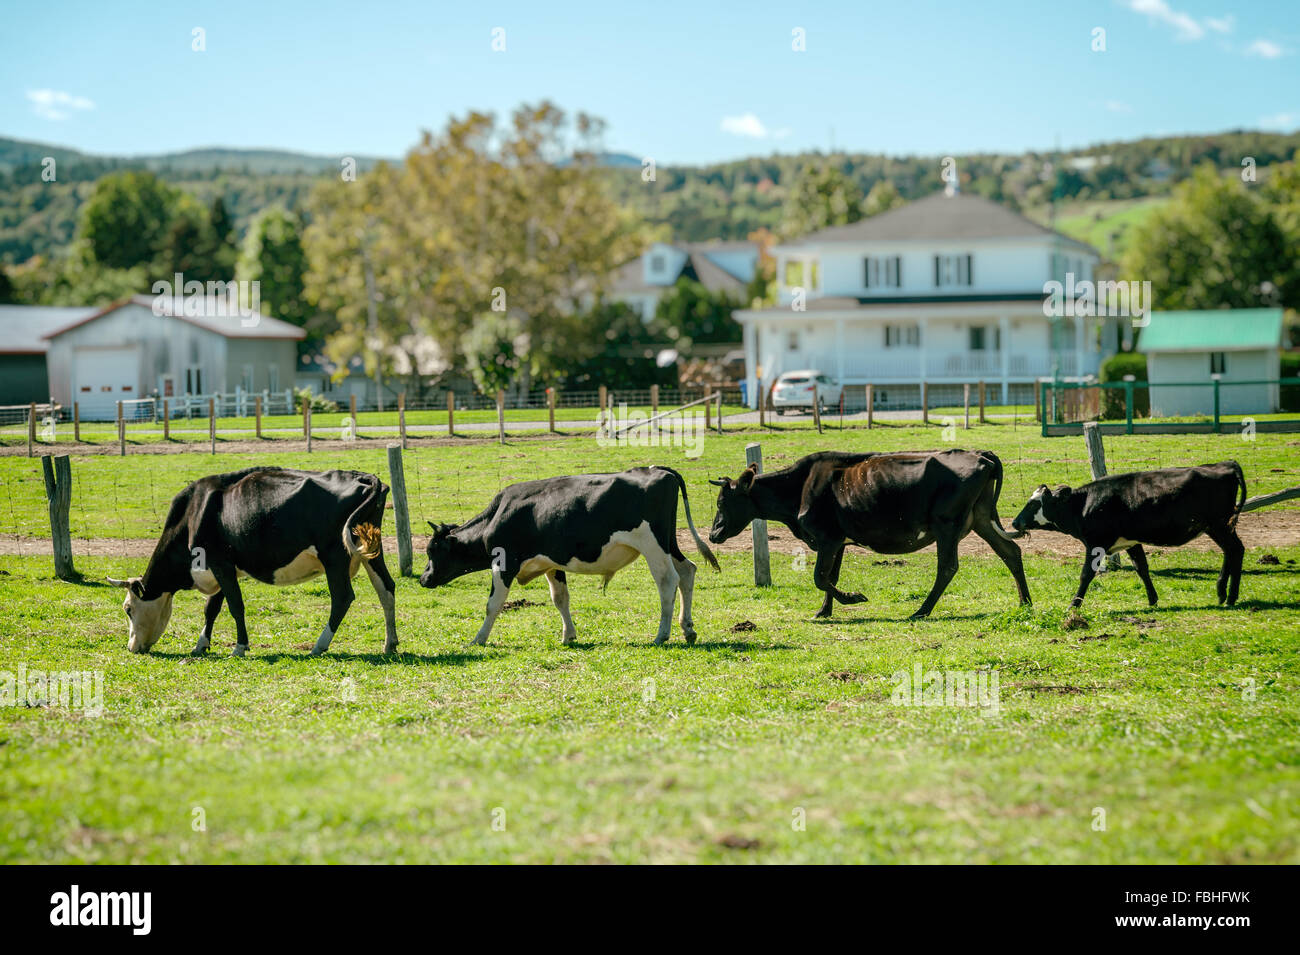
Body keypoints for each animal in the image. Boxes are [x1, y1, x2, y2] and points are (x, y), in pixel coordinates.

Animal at [107, 468, 398, 657]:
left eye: (128, 609)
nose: (132, 648)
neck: (193, 514)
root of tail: (362, 477)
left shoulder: (220, 564)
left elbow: (235, 606)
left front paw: (239, 647)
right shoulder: (223, 569)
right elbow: (212, 608)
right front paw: (201, 644)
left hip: (334, 556)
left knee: (342, 597)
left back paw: (319, 645)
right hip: (372, 552)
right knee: (386, 589)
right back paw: (390, 643)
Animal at [418, 466, 719, 645]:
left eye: (432, 551)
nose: (423, 579)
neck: (499, 514)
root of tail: (656, 469)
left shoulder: (505, 563)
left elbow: (493, 604)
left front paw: (478, 639)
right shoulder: (552, 563)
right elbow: (560, 599)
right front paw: (569, 636)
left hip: (653, 545)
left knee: (667, 582)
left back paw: (661, 634)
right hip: (669, 543)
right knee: (687, 572)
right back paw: (687, 628)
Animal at [707, 449, 1030, 619]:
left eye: (722, 503)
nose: (713, 534)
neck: (800, 488)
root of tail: (979, 454)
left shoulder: (827, 538)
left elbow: (819, 577)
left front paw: (853, 598)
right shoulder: (837, 541)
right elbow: (830, 577)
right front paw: (824, 611)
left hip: (947, 525)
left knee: (948, 567)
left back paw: (921, 610)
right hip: (981, 519)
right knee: (1010, 552)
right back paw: (1025, 602)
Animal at [1010, 461, 1247, 608]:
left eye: (1034, 504)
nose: (1014, 522)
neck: (1085, 504)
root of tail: (1224, 465)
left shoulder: (1096, 544)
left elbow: (1086, 574)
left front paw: (1073, 605)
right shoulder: (1132, 542)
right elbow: (1141, 568)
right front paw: (1152, 599)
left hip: (1218, 526)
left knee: (1235, 550)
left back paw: (1229, 595)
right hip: (1219, 527)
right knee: (1232, 551)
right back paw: (1223, 593)